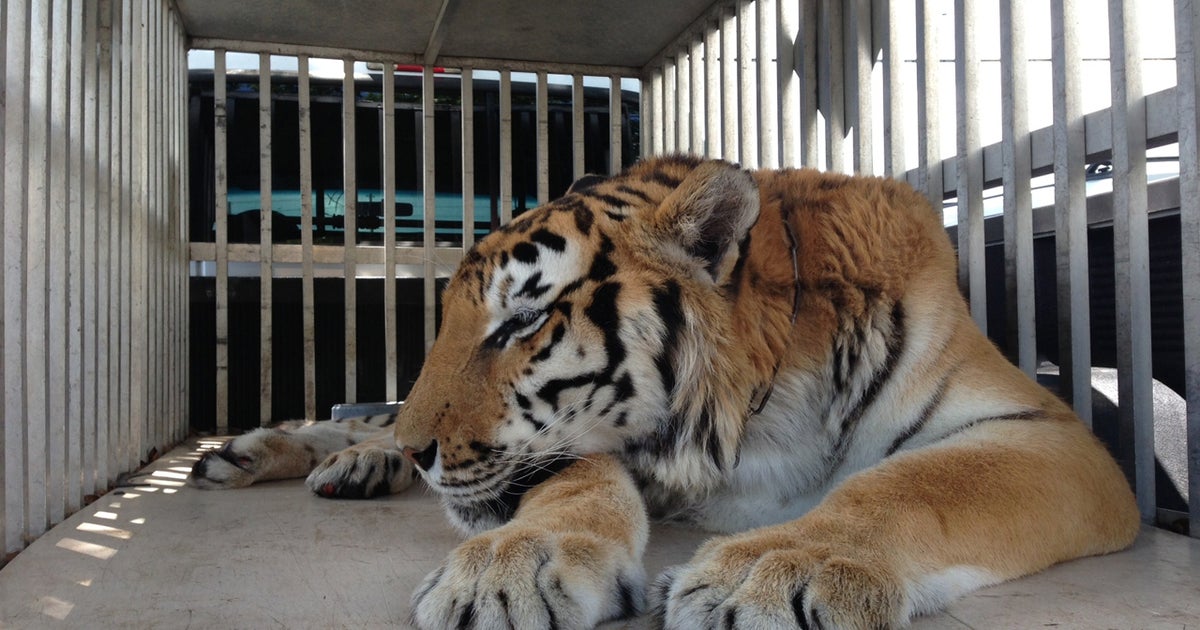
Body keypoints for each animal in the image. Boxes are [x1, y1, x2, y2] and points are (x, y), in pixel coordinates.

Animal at [189, 155, 1139, 630]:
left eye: (520, 320)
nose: (426, 452)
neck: (762, 419)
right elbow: (574, 483)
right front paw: (508, 566)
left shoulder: (1050, 431)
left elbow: (913, 483)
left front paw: (775, 568)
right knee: (369, 421)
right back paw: (271, 455)